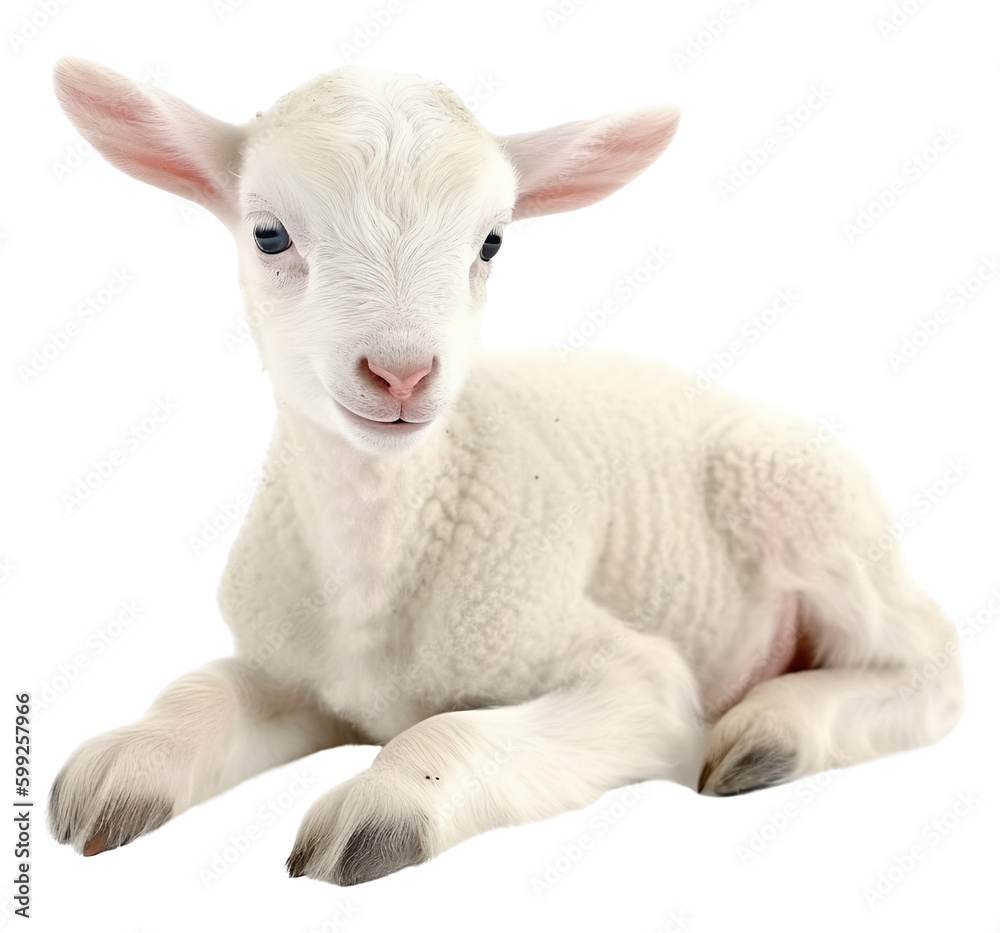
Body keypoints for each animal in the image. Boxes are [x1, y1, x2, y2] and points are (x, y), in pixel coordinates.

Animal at [47, 56, 964, 887]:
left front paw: (381, 812)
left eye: (490, 242)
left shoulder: (631, 676)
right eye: (269, 234)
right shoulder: (287, 668)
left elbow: (446, 731)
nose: (403, 373)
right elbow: (198, 691)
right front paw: (124, 767)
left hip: (799, 499)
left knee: (930, 661)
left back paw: (774, 731)